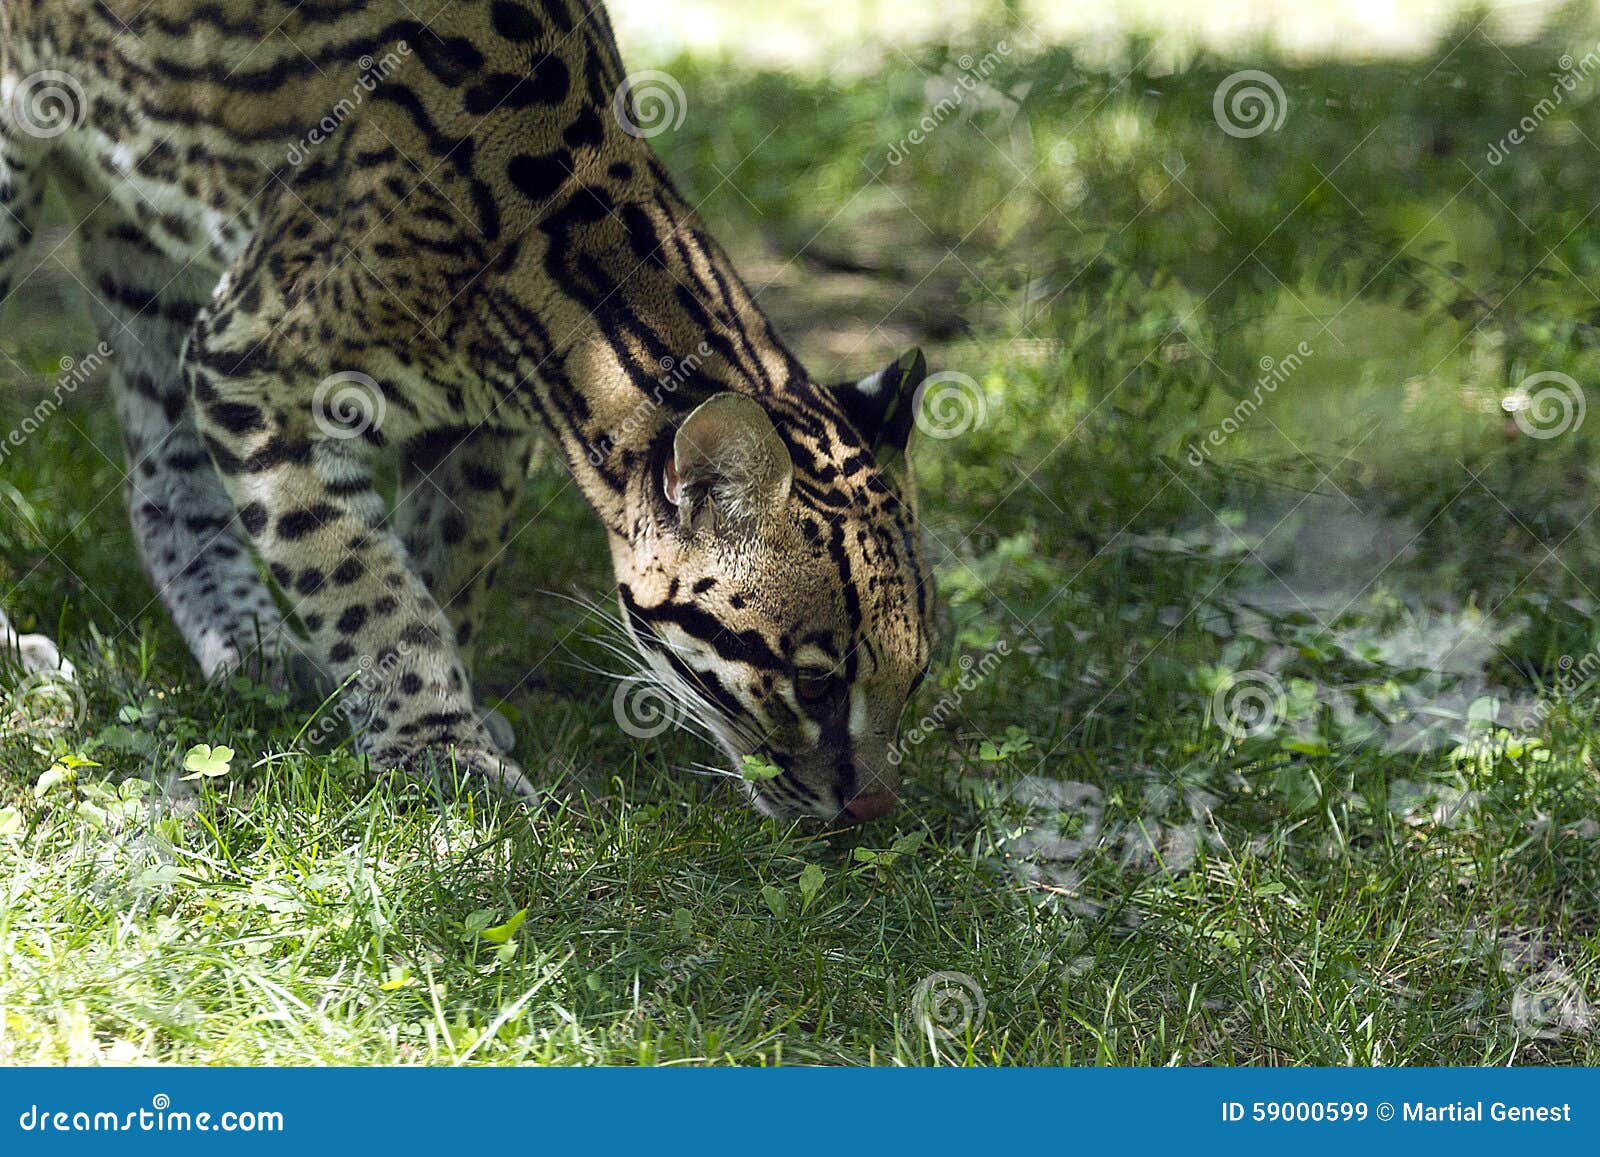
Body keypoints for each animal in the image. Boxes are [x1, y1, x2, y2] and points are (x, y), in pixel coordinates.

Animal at [0, 0, 935, 823]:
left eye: (919, 674)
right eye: (816, 681)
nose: (876, 804)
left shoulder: (484, 426)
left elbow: (448, 555)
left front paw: (435, 711)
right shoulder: (250, 362)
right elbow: (360, 581)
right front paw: (437, 746)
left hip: (145, 241)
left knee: (159, 475)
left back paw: (247, 639)